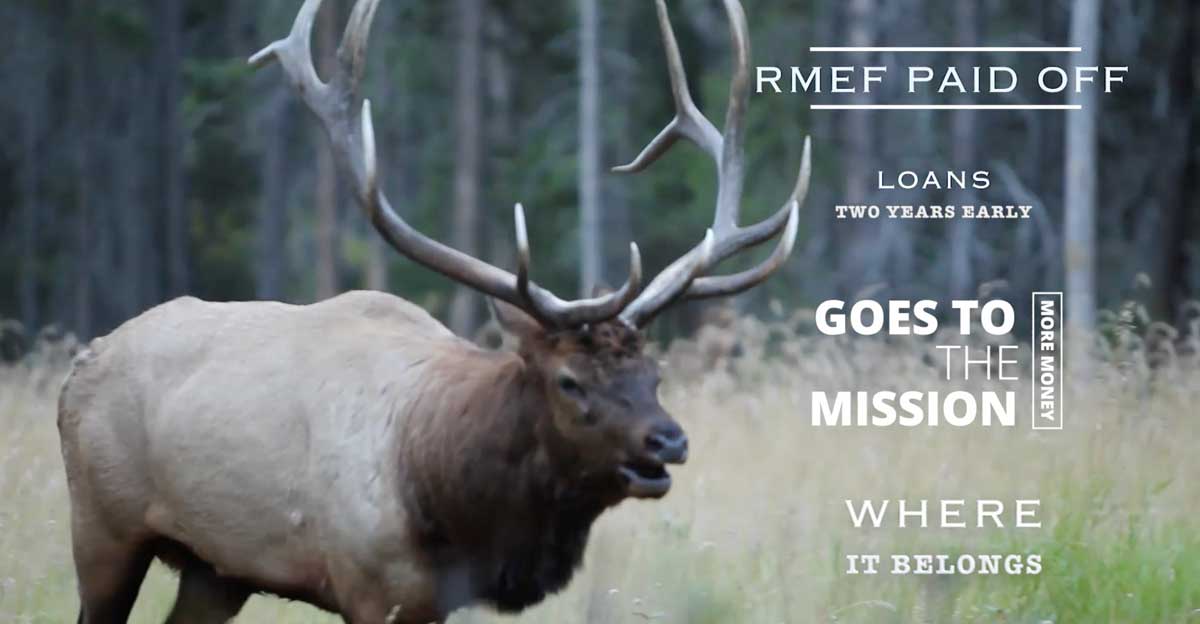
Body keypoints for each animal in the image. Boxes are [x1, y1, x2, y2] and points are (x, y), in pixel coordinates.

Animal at [57, 0, 811, 622]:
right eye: (569, 381)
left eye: (654, 376)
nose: (668, 441)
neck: (450, 503)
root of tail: (80, 364)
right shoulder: (368, 588)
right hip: (102, 528)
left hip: (217, 568)